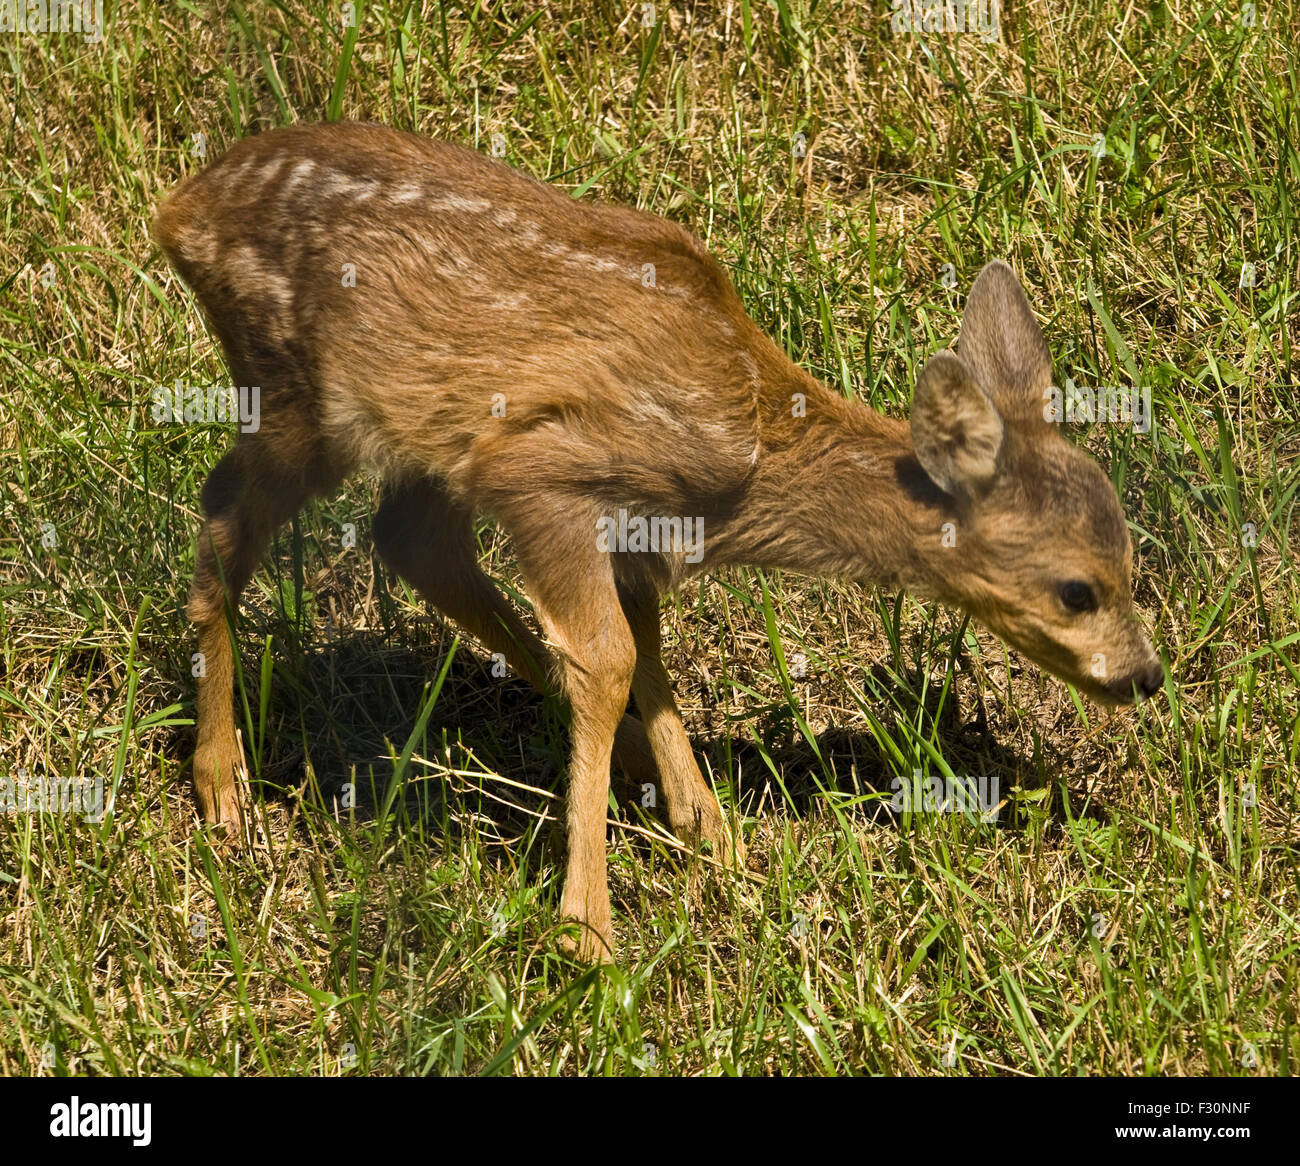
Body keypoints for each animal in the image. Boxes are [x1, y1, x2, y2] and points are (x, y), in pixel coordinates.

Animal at [153, 122, 1163, 962]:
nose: (1146, 676)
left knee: (407, 539)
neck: (750, 457)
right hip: (298, 394)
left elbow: (646, 646)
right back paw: (223, 787)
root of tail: (180, 209)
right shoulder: (542, 467)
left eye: (1132, 562)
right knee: (225, 522)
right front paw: (588, 930)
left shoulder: (641, 521)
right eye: (1077, 589)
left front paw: (709, 830)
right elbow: (608, 657)